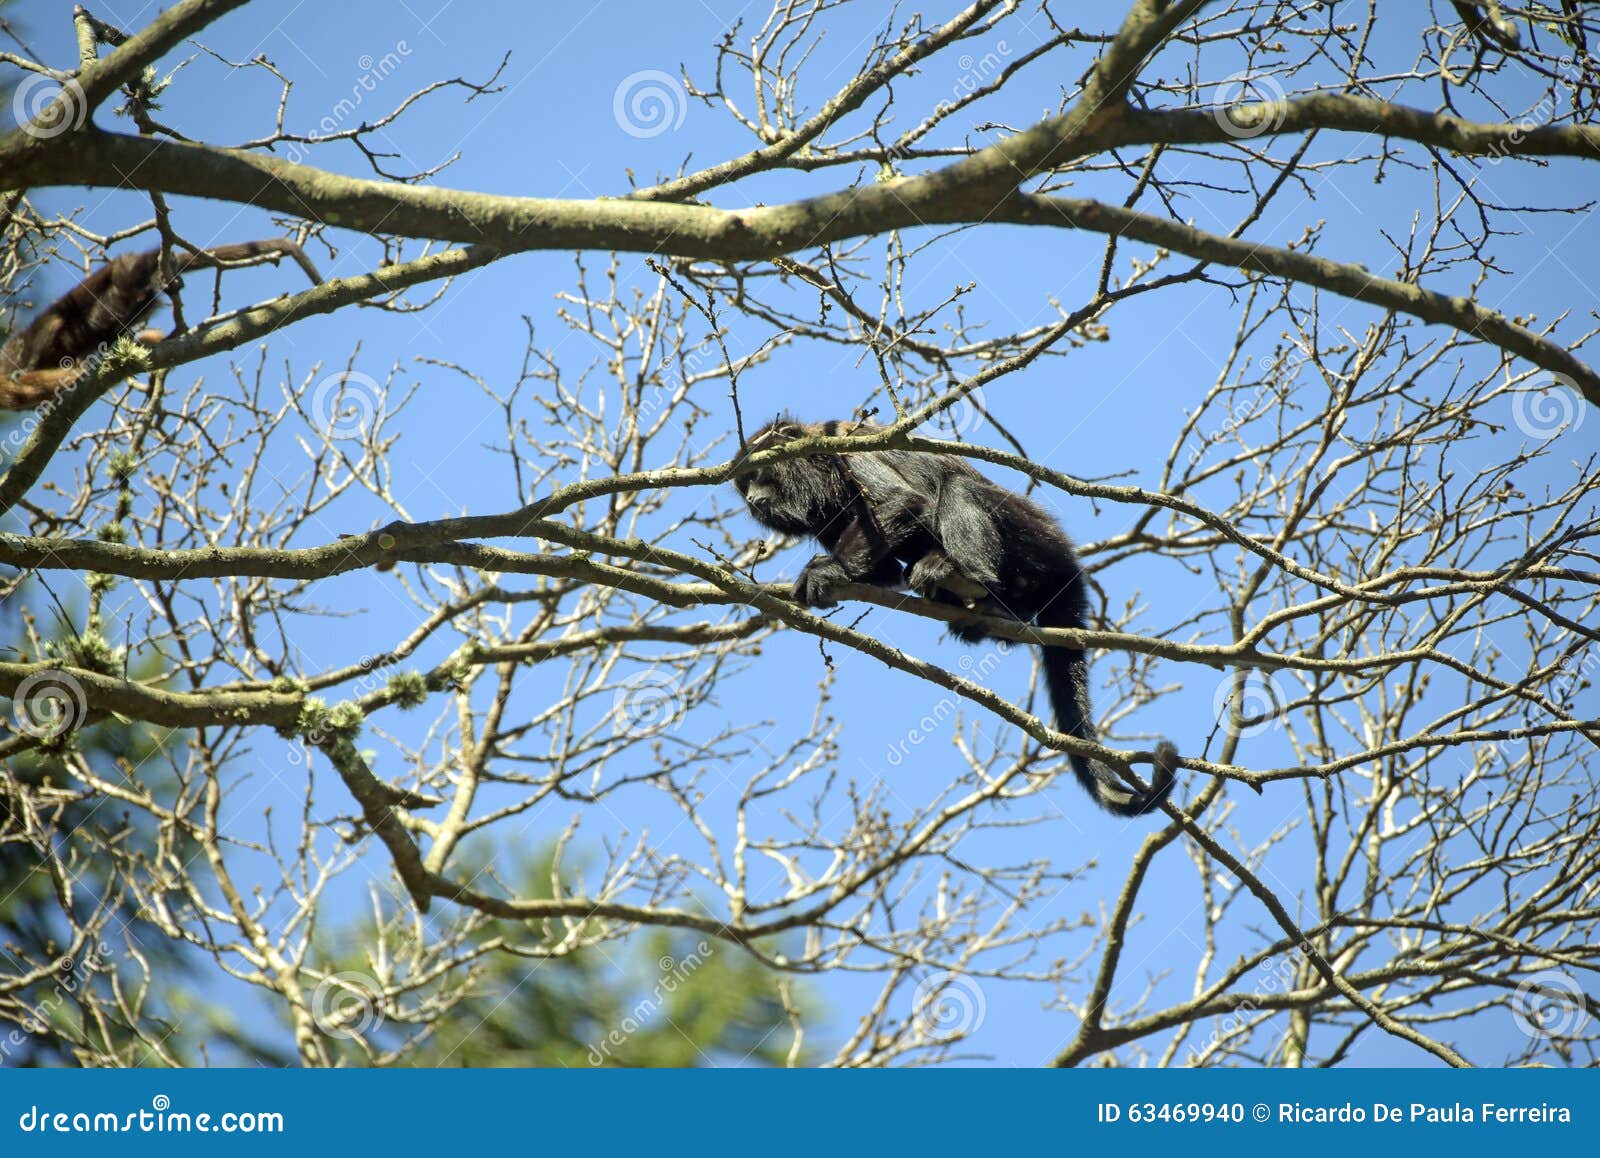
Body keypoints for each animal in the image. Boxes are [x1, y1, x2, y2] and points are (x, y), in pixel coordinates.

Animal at [734, 416, 1179, 817]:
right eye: (743, 486)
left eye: (758, 474)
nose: (752, 500)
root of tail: (1068, 563)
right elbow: (885, 572)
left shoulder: (847, 450)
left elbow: (901, 501)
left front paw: (827, 571)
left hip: (1036, 541)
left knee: (958, 487)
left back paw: (969, 579)